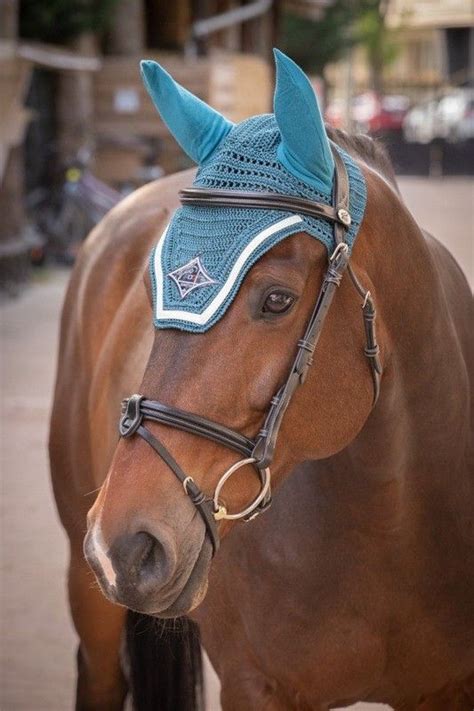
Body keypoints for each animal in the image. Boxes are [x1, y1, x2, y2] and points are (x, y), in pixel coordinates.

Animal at [49, 50, 473, 710]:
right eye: (149, 289)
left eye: (277, 299)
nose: (124, 547)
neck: (394, 514)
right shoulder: (255, 687)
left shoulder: (450, 686)